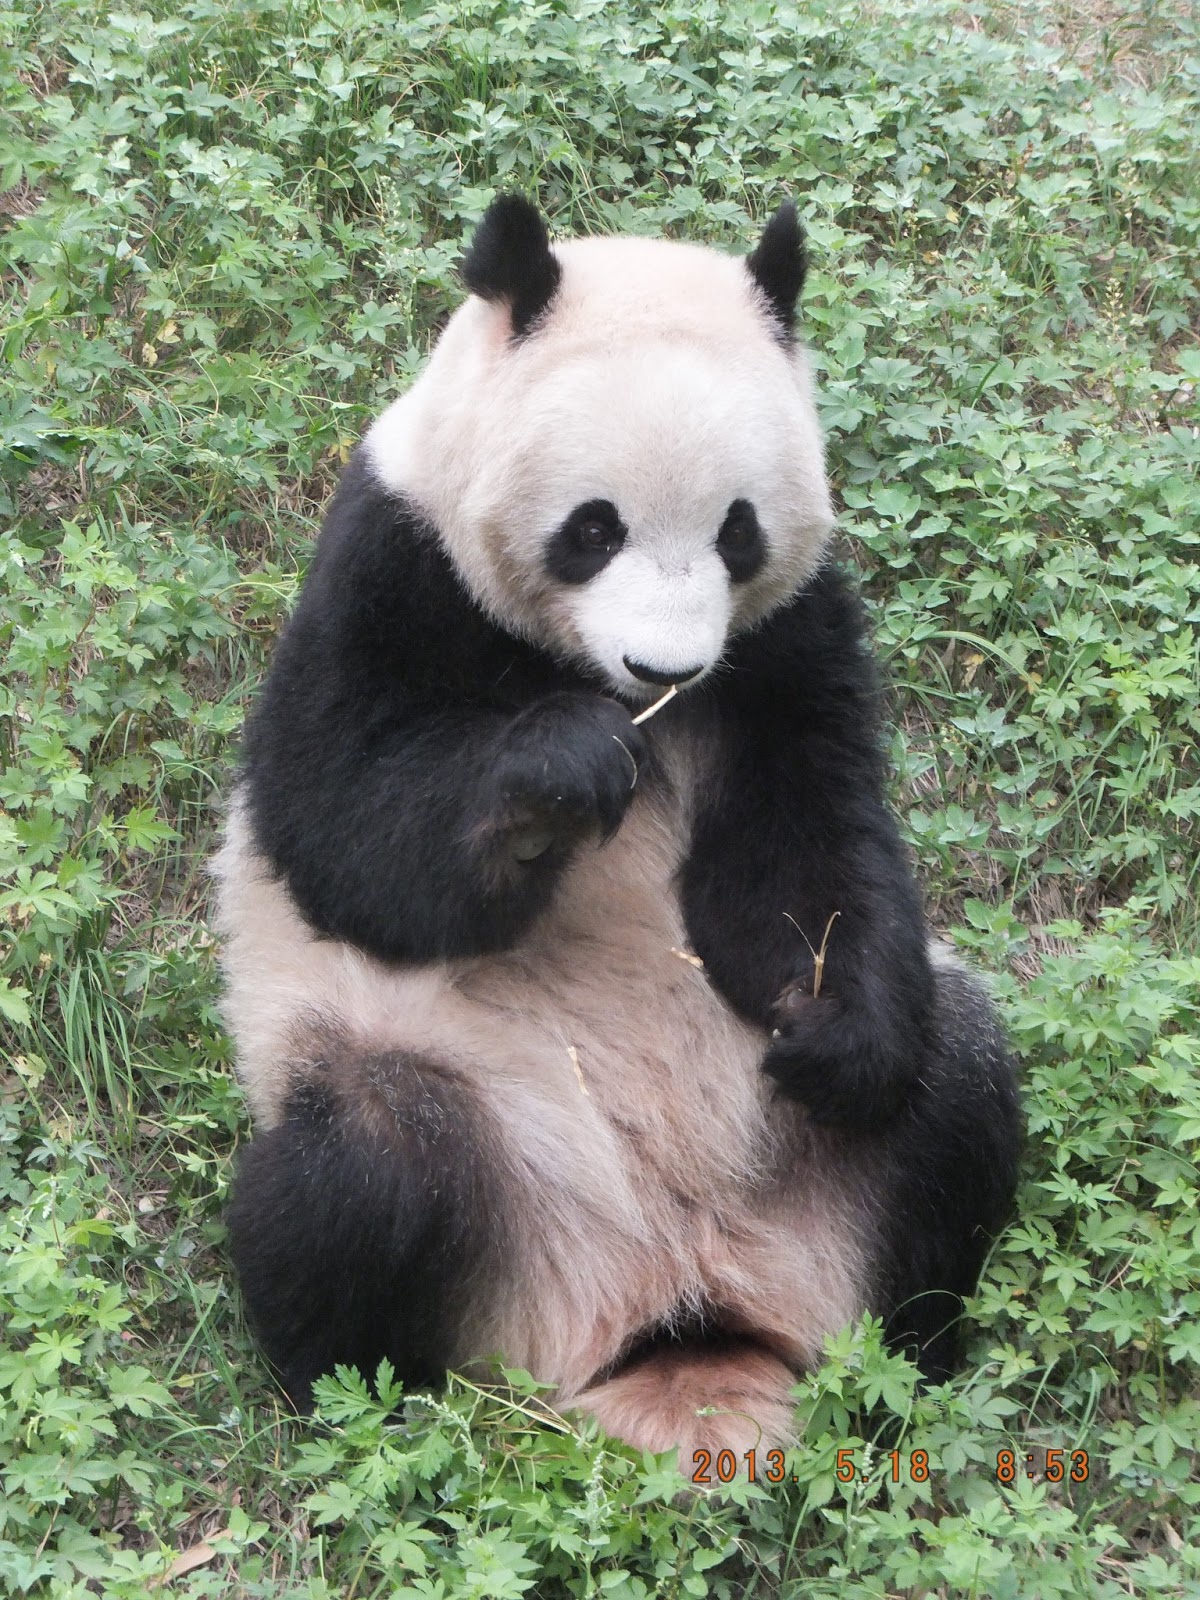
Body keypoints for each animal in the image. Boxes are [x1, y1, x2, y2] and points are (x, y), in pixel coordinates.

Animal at [212, 194, 1022, 1463]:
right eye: (592, 529)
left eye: (739, 531)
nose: (664, 667)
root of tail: (668, 1319)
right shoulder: (392, 556)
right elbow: (339, 824)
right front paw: (563, 768)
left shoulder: (789, 635)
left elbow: (805, 848)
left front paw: (831, 1028)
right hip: (488, 1156)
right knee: (359, 1167)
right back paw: (361, 1403)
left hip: (799, 1184)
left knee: (956, 1087)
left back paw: (907, 1373)